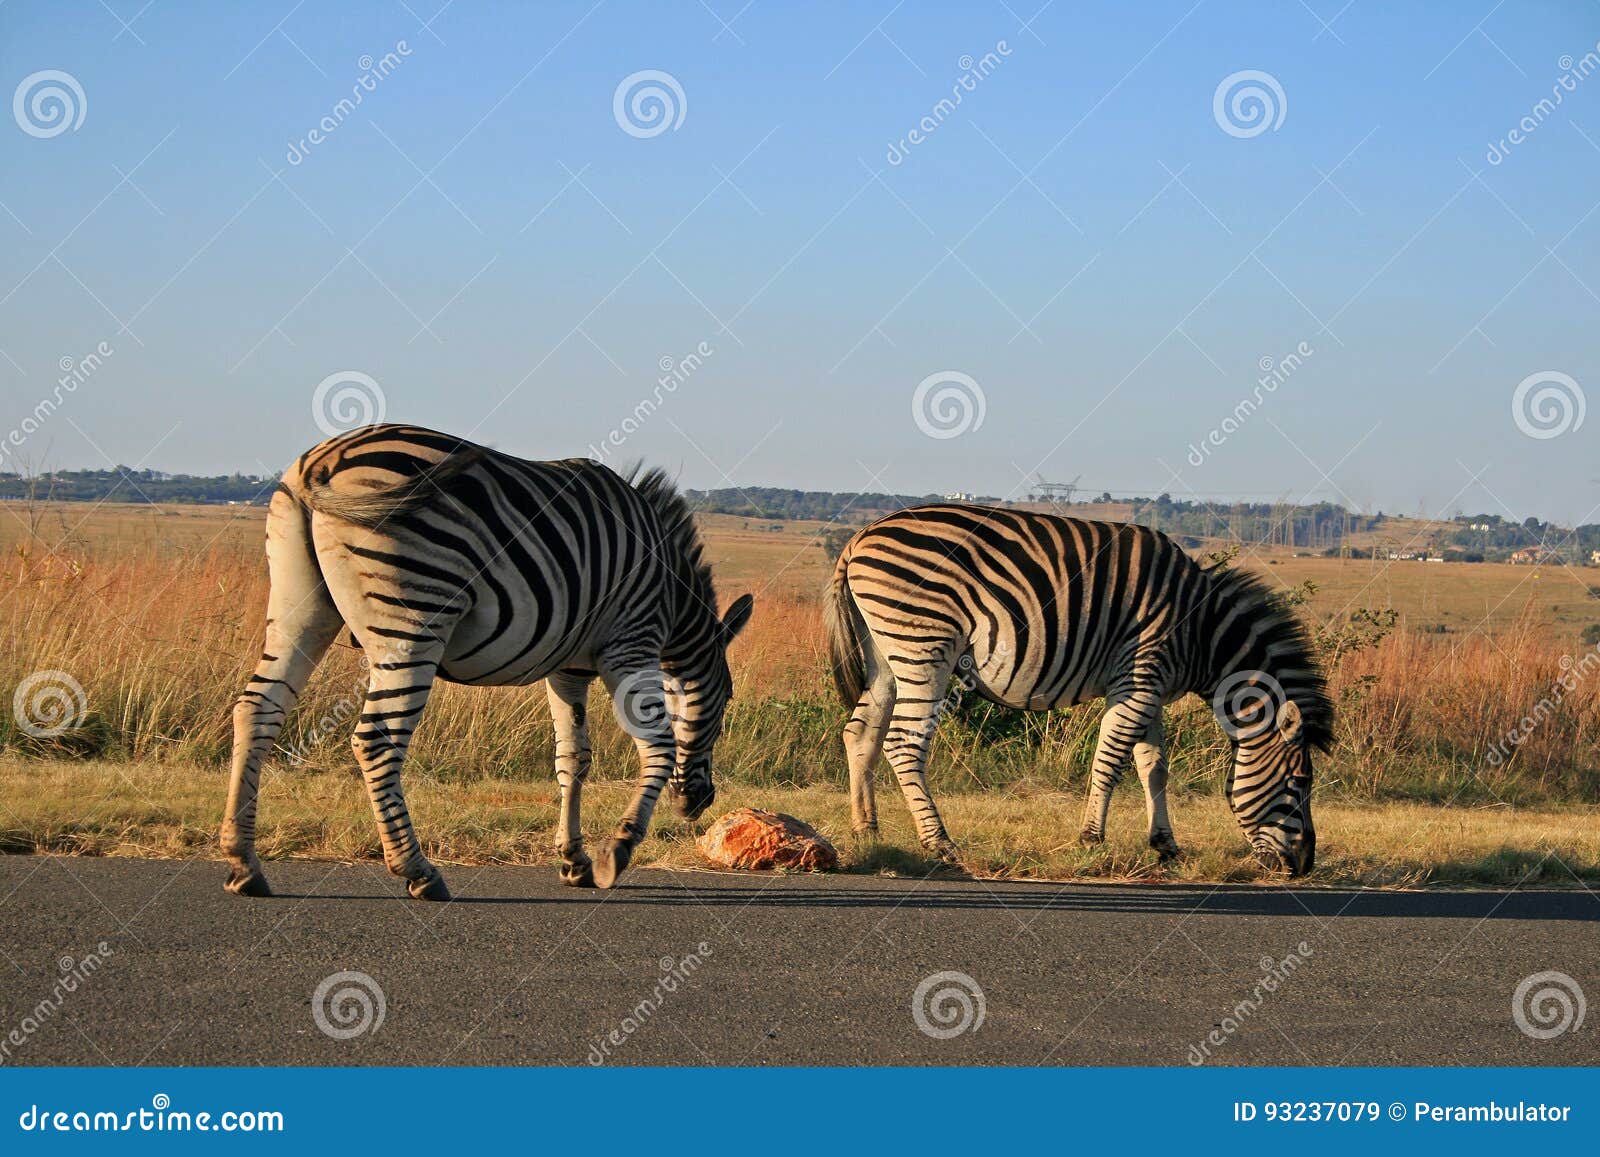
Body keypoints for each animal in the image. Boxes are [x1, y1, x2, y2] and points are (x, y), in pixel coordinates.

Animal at [220, 424, 753, 897]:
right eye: (726, 700)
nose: (700, 803)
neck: (670, 594)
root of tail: (322, 459)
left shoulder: (569, 669)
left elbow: (573, 758)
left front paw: (574, 860)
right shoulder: (631, 640)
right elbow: (658, 744)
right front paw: (615, 853)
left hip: (299, 609)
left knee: (256, 710)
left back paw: (243, 862)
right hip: (414, 619)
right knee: (375, 740)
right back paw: (417, 871)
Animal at [824, 504, 1330, 875]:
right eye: (1300, 783)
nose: (1305, 866)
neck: (1201, 632)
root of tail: (861, 536)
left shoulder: (1151, 687)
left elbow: (1153, 767)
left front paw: (1166, 845)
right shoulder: (1138, 678)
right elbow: (1111, 760)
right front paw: (1091, 839)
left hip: (885, 653)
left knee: (861, 732)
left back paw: (866, 828)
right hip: (924, 646)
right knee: (903, 742)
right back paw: (939, 842)